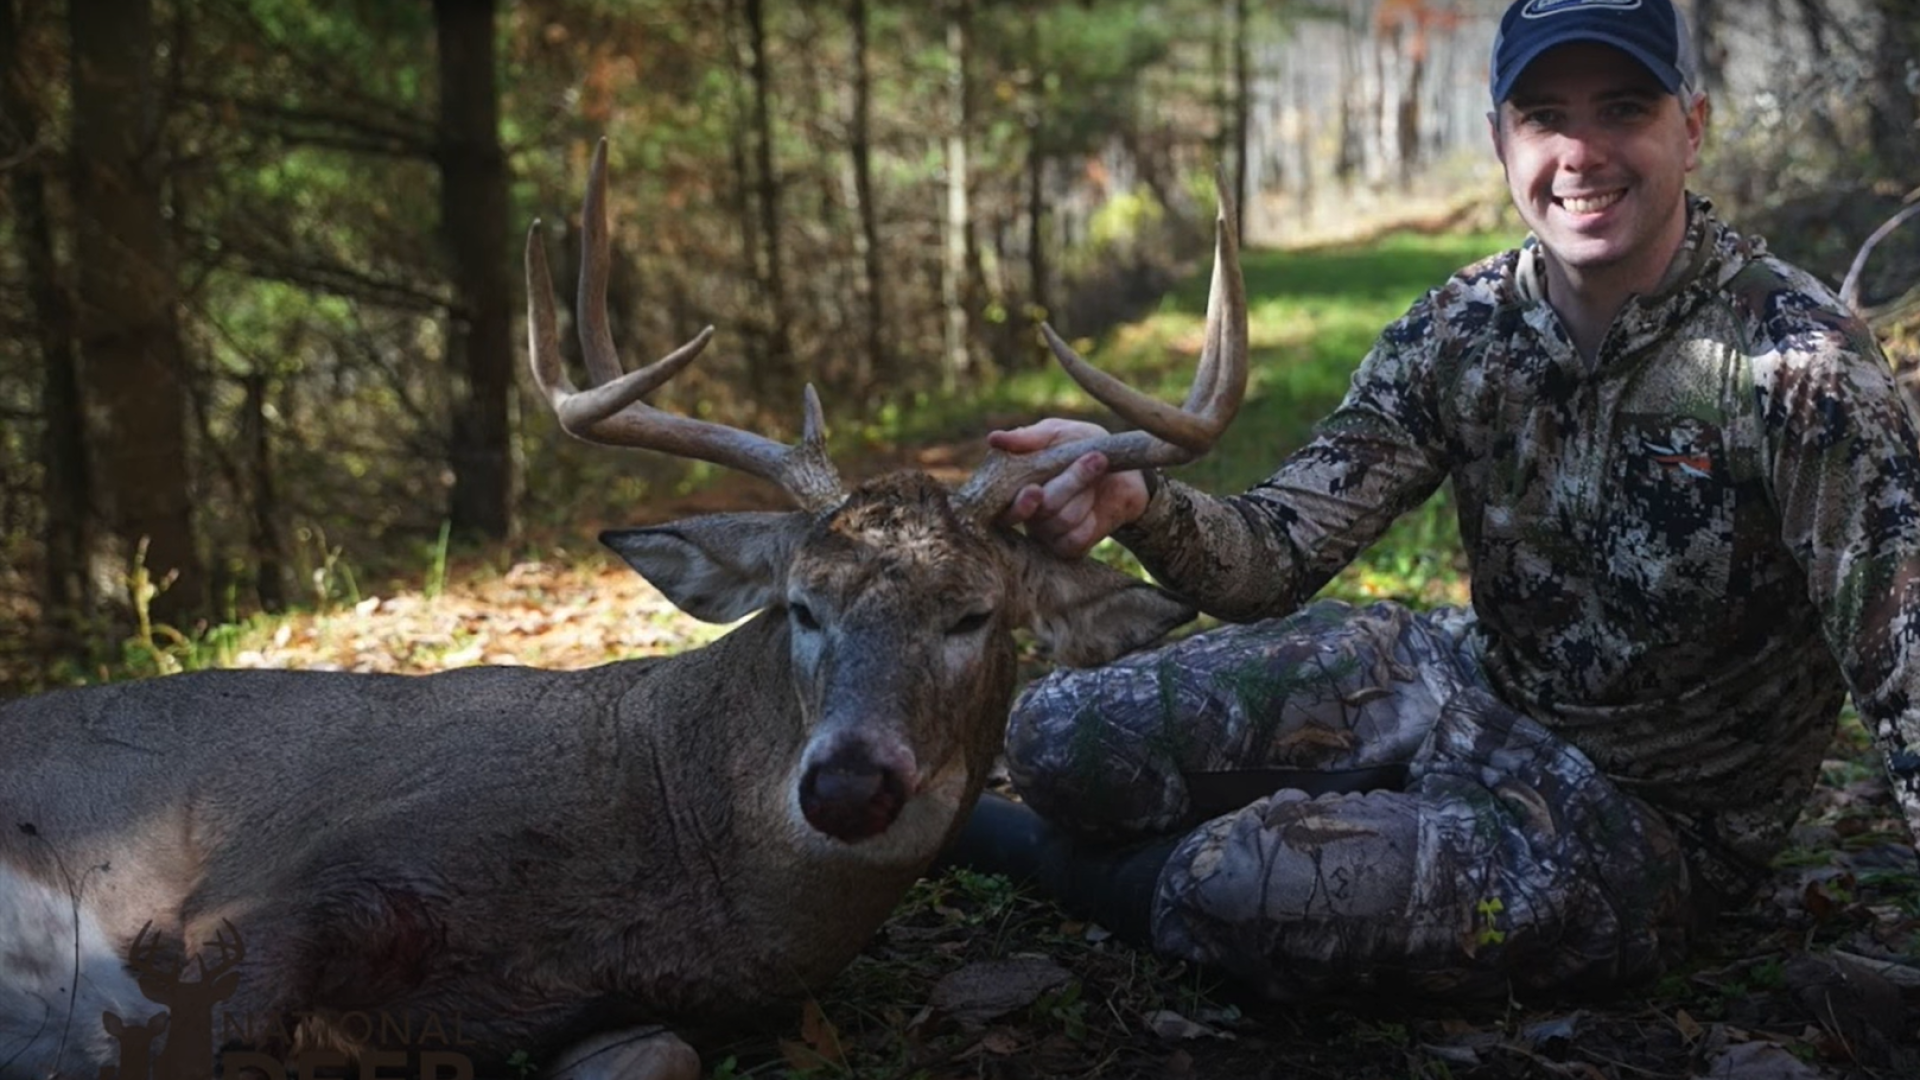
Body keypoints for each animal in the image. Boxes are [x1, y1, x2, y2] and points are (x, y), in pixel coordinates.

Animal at [0, 140, 1247, 1080]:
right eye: (803, 606)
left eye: (973, 617)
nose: (847, 785)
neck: (659, 838)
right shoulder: (266, 887)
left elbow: (661, 1054)